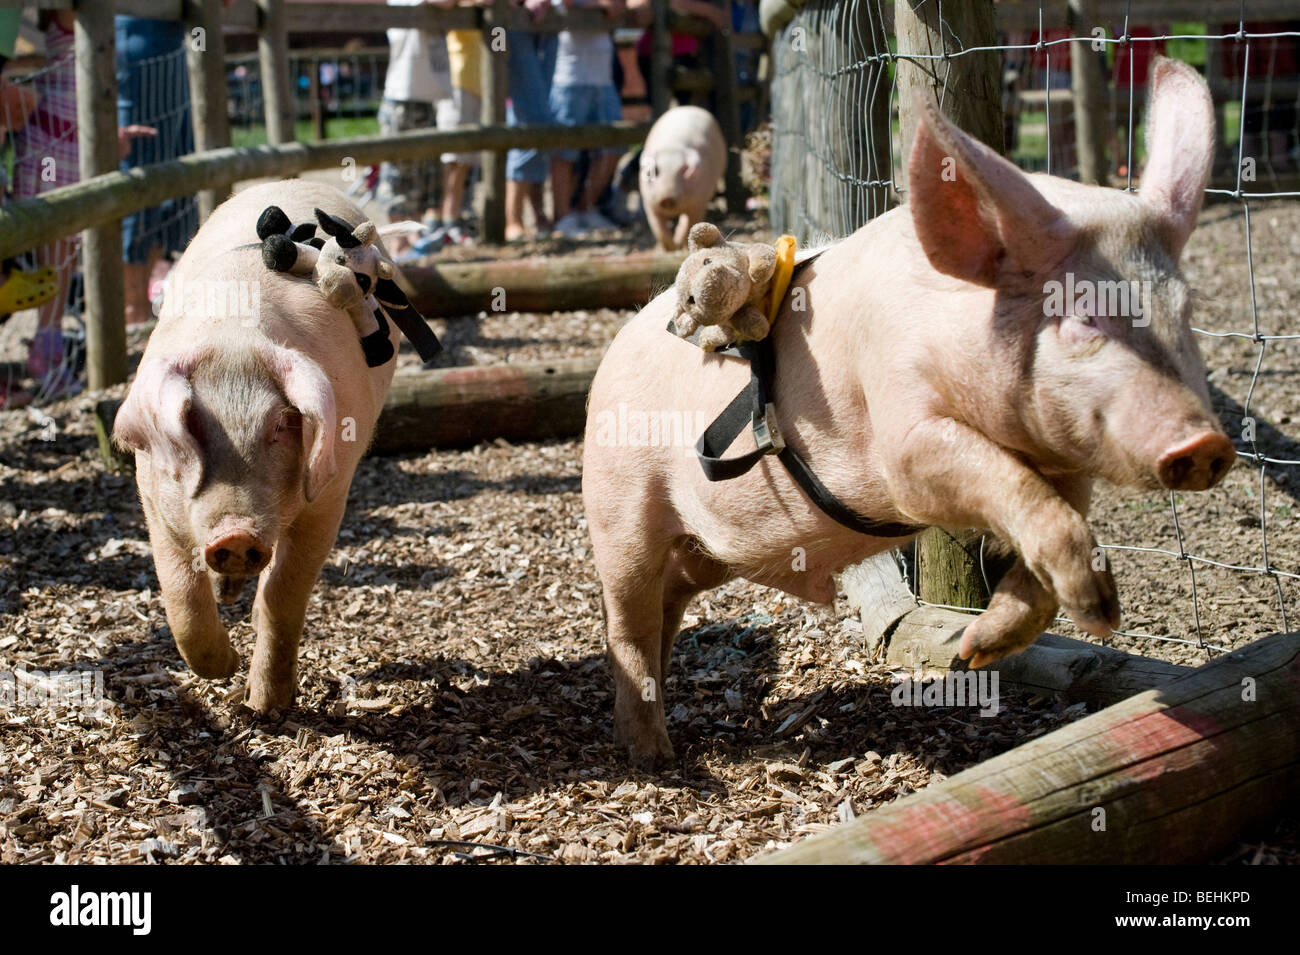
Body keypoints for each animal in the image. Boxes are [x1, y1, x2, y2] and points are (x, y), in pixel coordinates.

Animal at [113, 180, 400, 713]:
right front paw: (222, 669)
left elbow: (283, 593)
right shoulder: (152, 499)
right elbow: (180, 594)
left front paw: (264, 706)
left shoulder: (329, 496)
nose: (235, 534)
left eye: (281, 425)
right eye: (192, 425)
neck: (233, 336)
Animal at [639, 105, 727, 251]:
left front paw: (683, 246)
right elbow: (658, 228)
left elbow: (691, 223)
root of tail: (690, 107)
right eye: (655, 171)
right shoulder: (649, 203)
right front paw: (671, 248)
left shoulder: (699, 201)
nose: (667, 198)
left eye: (684, 170)